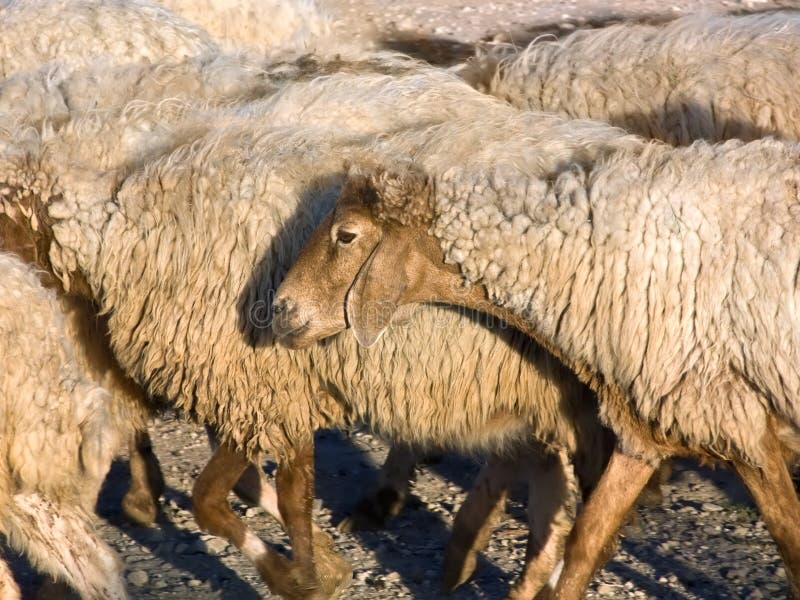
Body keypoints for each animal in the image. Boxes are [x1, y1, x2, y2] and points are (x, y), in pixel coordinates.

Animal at [273, 106, 800, 597]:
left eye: (346, 234)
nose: (279, 307)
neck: (581, 258)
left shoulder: (737, 421)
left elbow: (791, 544)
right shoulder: (652, 421)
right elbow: (586, 541)